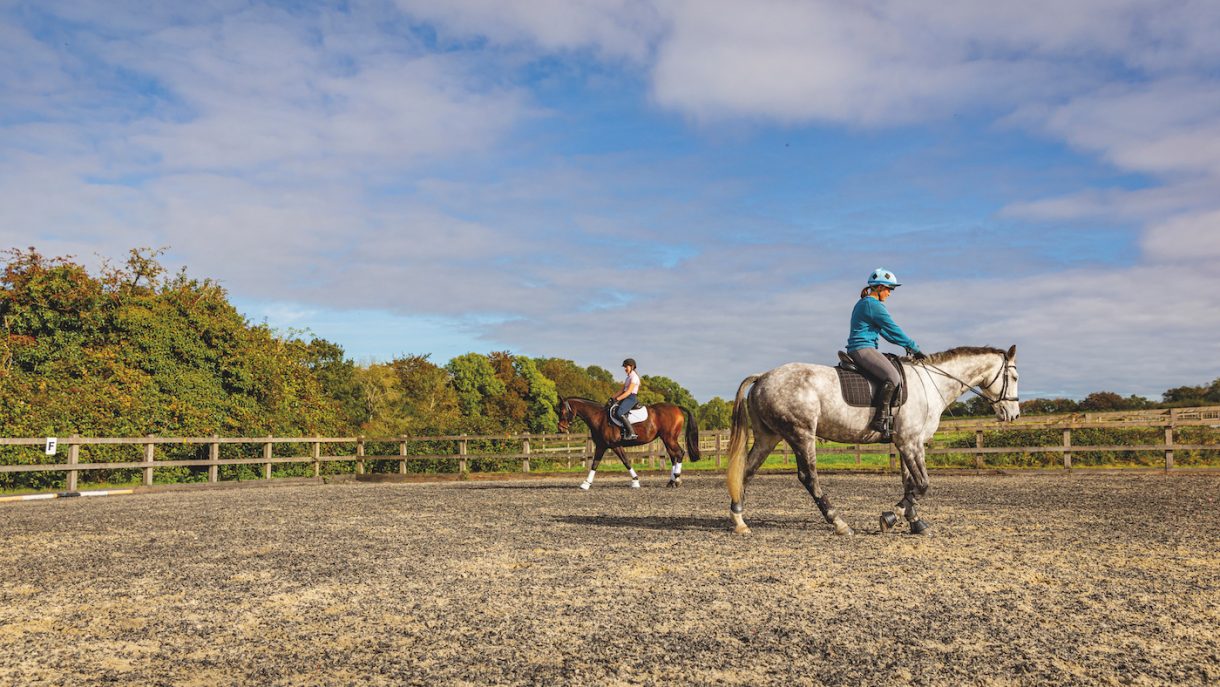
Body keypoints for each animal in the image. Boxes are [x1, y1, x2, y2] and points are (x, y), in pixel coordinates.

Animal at [558, 397, 702, 489]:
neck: (599, 418)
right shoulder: (601, 445)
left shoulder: (615, 445)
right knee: (673, 456)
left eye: (563, 411)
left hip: (669, 438)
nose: (561, 429)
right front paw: (586, 483)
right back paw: (673, 481)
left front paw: (635, 481)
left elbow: (626, 461)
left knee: (680, 453)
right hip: (667, 439)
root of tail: (677, 407)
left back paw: (676, 478)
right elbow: (595, 464)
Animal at [725, 345, 1019, 535]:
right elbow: (922, 484)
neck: (931, 383)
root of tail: (763, 377)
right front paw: (890, 517)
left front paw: (915, 522)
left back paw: (739, 521)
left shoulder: (907, 443)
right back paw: (839, 523)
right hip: (801, 434)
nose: (1014, 415)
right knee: (809, 478)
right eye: (1014, 377)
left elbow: (909, 484)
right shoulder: (911, 443)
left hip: (769, 437)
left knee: (746, 471)